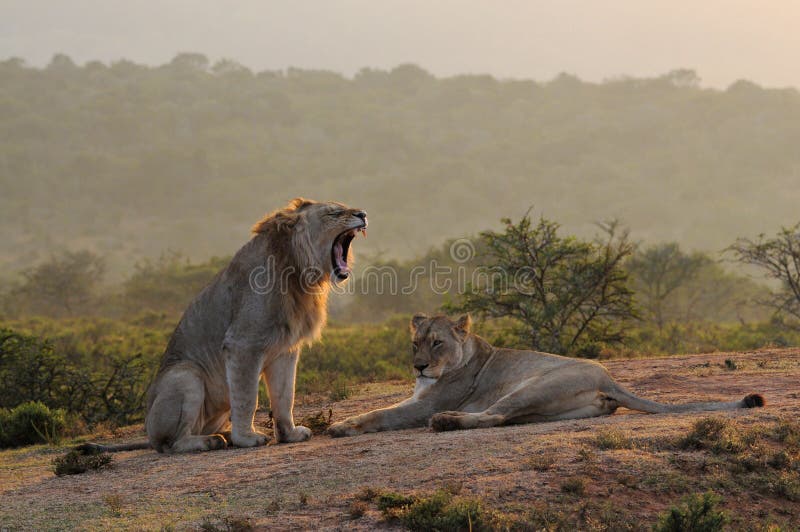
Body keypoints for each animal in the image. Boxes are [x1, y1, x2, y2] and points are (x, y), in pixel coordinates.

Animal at [80, 198, 367, 454]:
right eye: (334, 212)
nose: (363, 214)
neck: (297, 272)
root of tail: (147, 433)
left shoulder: (285, 350)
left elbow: (285, 396)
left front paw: (290, 435)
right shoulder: (243, 345)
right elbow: (248, 398)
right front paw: (247, 438)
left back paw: (223, 434)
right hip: (186, 375)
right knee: (171, 443)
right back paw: (213, 441)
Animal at [328, 314, 764, 437]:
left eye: (437, 343)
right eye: (415, 343)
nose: (419, 366)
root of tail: (608, 378)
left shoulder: (423, 404)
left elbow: (381, 413)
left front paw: (340, 426)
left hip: (531, 386)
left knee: (494, 416)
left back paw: (446, 422)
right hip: (548, 406)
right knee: (504, 418)